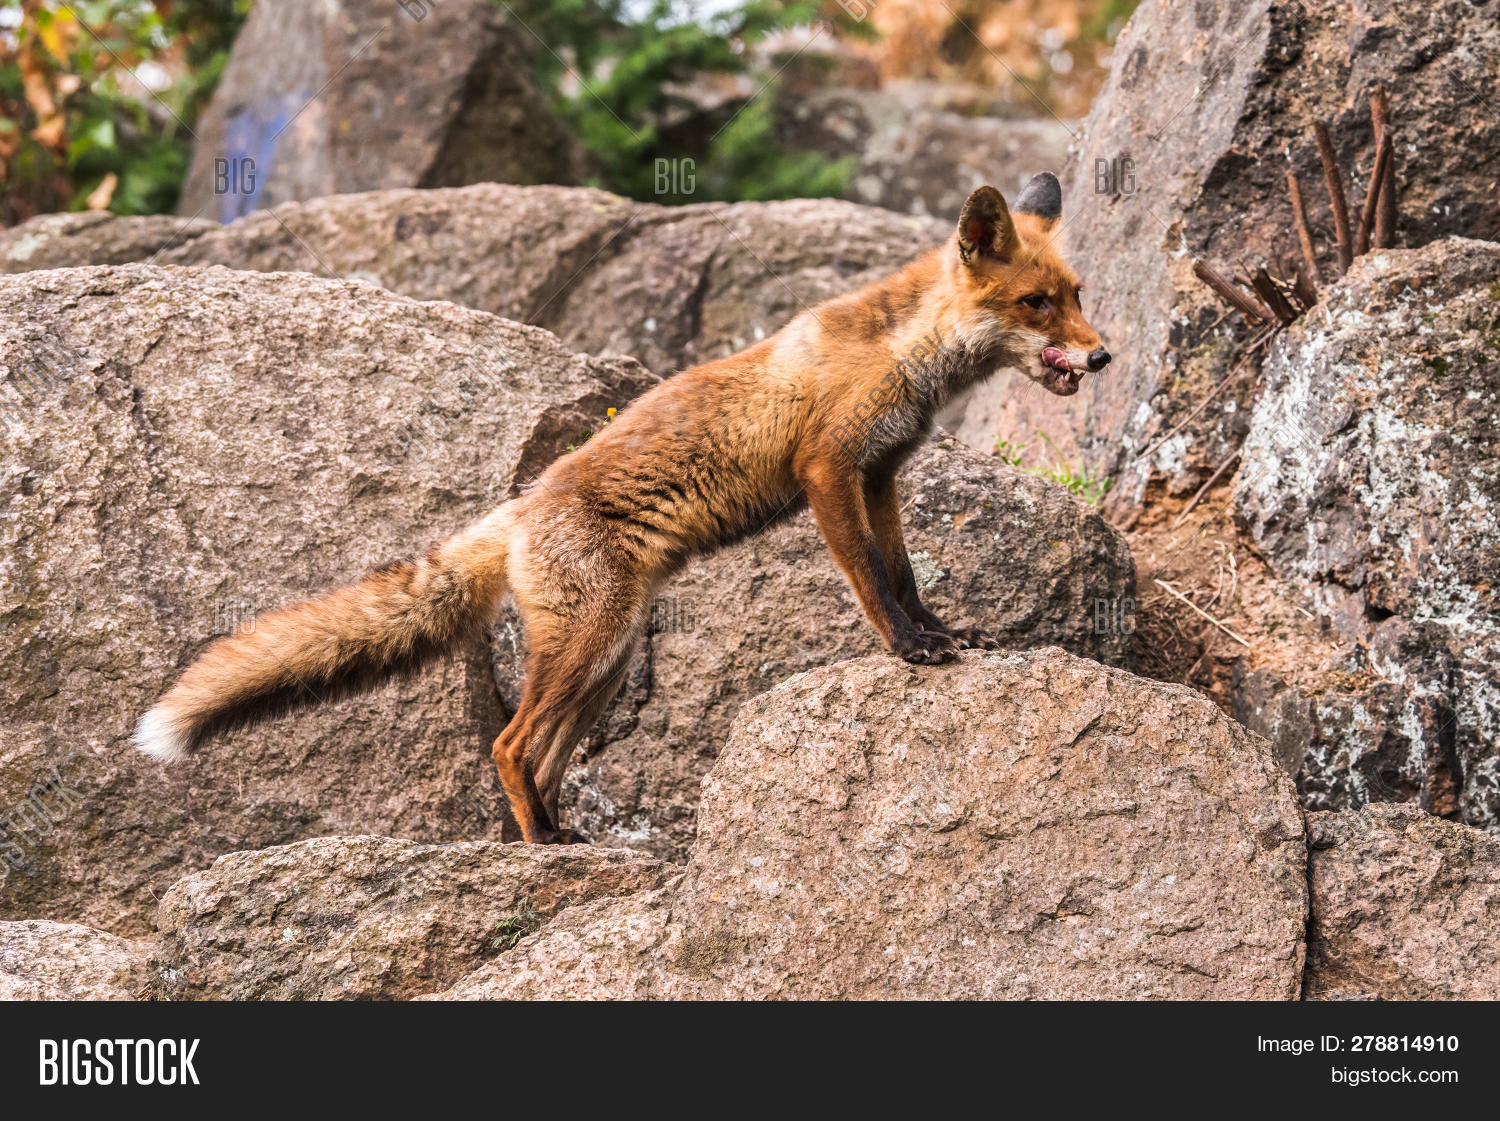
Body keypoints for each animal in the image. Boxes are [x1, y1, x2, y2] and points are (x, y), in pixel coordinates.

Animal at [132, 172, 1110, 845]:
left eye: (1078, 295)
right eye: (1035, 303)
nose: (1103, 357)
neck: (904, 351)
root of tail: (520, 506)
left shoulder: (882, 474)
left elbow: (905, 574)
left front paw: (944, 631)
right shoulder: (829, 471)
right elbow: (871, 582)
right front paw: (910, 651)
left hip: (602, 664)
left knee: (540, 756)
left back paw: (556, 837)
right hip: (591, 645)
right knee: (506, 745)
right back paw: (539, 843)